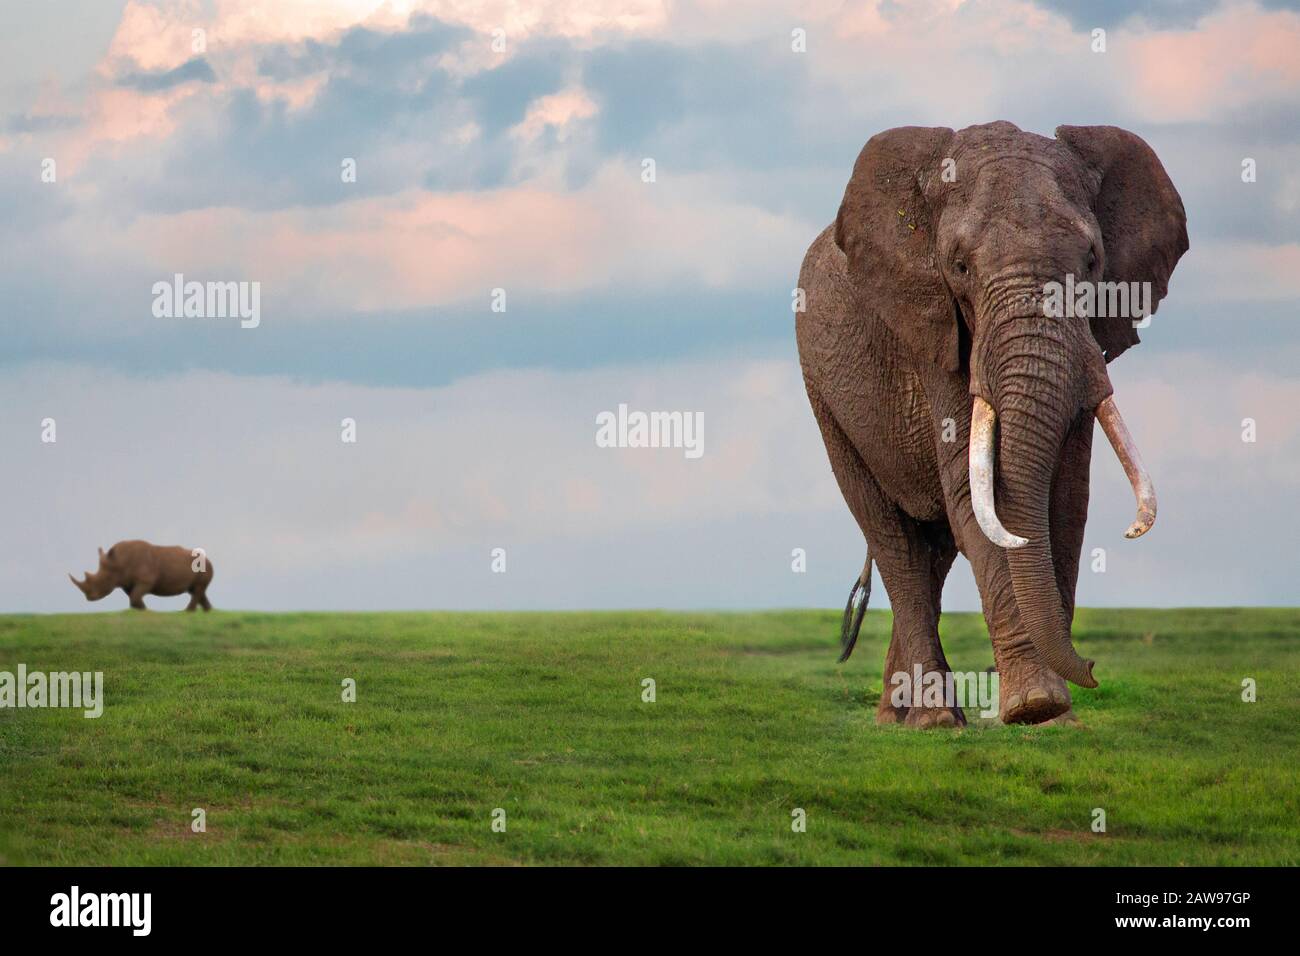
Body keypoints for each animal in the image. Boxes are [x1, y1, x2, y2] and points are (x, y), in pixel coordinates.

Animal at [68, 538, 213, 613]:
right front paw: (141, 610)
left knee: (197, 590)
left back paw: (187, 612)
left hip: (203, 567)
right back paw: (208, 612)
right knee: (196, 590)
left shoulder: (145, 580)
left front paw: (145, 610)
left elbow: (135, 596)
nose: (89, 598)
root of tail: (208, 560)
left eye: (104, 580)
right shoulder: (127, 582)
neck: (118, 562)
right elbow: (133, 597)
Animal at [790, 123, 1190, 728]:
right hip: (824, 394)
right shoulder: (935, 331)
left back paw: (898, 717)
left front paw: (1055, 716)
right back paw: (932, 721)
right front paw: (1035, 705)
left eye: (1093, 260)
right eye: (958, 266)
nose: (1093, 666)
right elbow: (982, 494)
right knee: (894, 540)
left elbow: (1065, 499)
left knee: (933, 551)